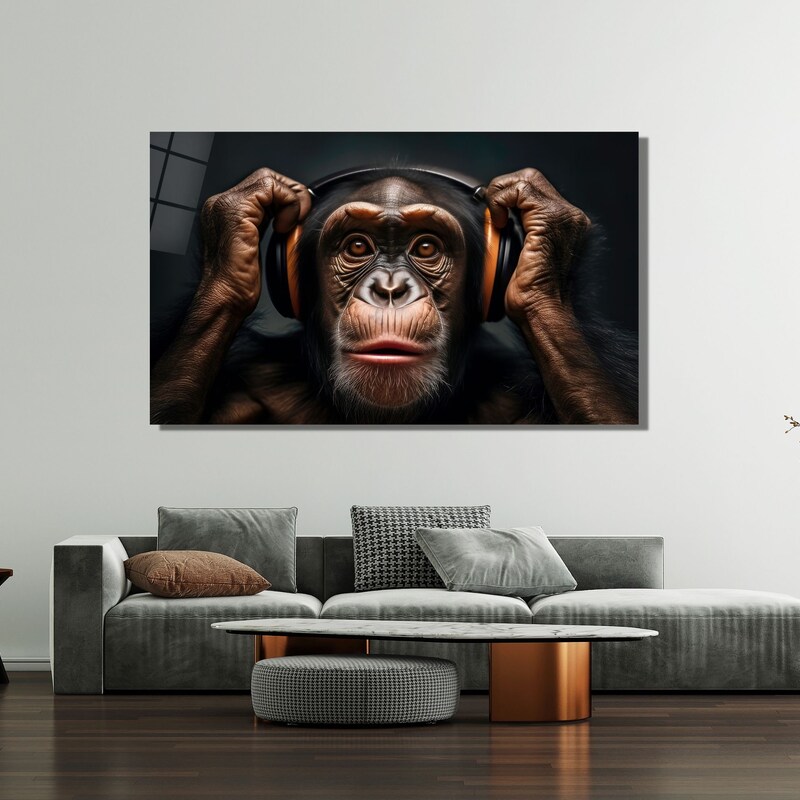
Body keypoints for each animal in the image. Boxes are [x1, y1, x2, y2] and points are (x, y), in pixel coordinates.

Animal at [150, 166, 638, 425]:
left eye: (425, 248)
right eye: (357, 247)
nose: (389, 289)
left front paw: (545, 232)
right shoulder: (246, 391)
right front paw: (240, 218)